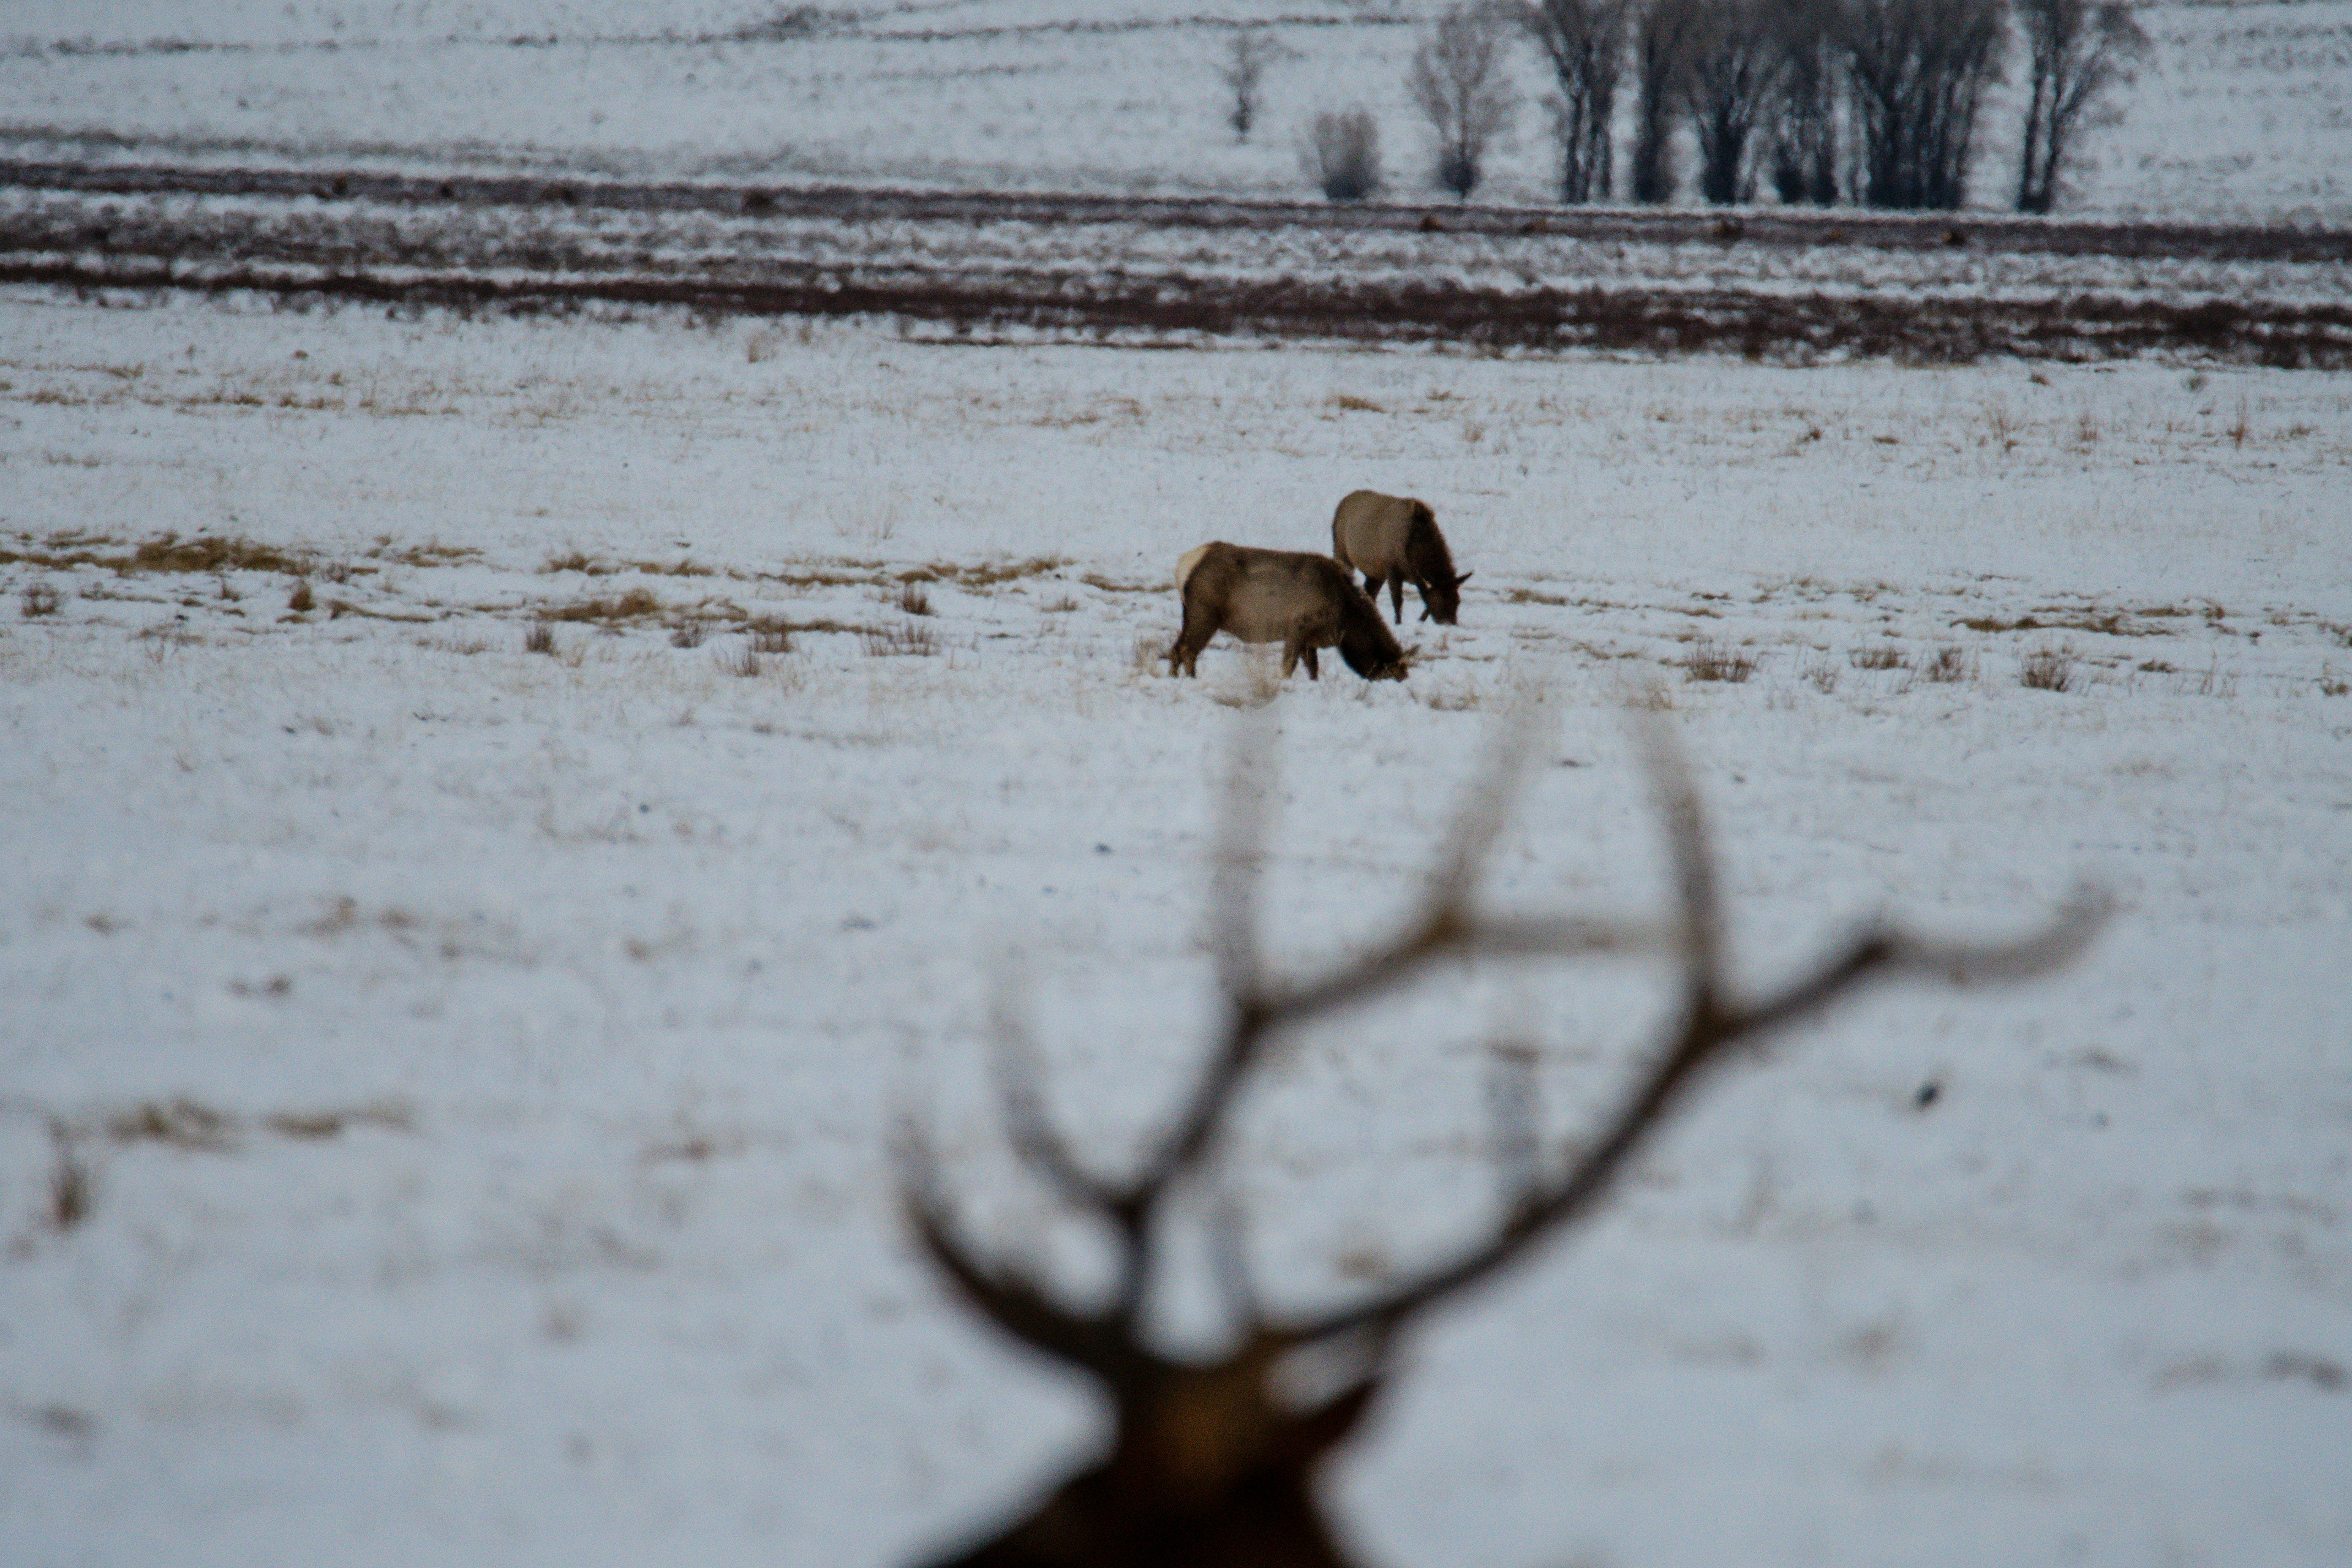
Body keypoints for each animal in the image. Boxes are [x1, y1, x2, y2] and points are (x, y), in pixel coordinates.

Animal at [1168, 542, 1408, 683]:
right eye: (1392, 672)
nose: (1404, 679)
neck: (1345, 618)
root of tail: (1183, 567)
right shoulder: (1298, 627)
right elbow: (1288, 666)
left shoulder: (1310, 641)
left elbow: (1313, 669)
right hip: (1205, 616)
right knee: (1186, 650)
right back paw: (1191, 680)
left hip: (1192, 615)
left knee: (1177, 649)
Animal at [1330, 490, 1469, 626]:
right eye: (1441, 601)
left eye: (1458, 601)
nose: (1451, 623)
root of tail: (1341, 504)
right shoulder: (1391, 567)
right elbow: (1398, 601)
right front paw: (1398, 623)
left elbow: (1425, 601)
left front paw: (1420, 620)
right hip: (1341, 551)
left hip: (1376, 573)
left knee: (1370, 594)